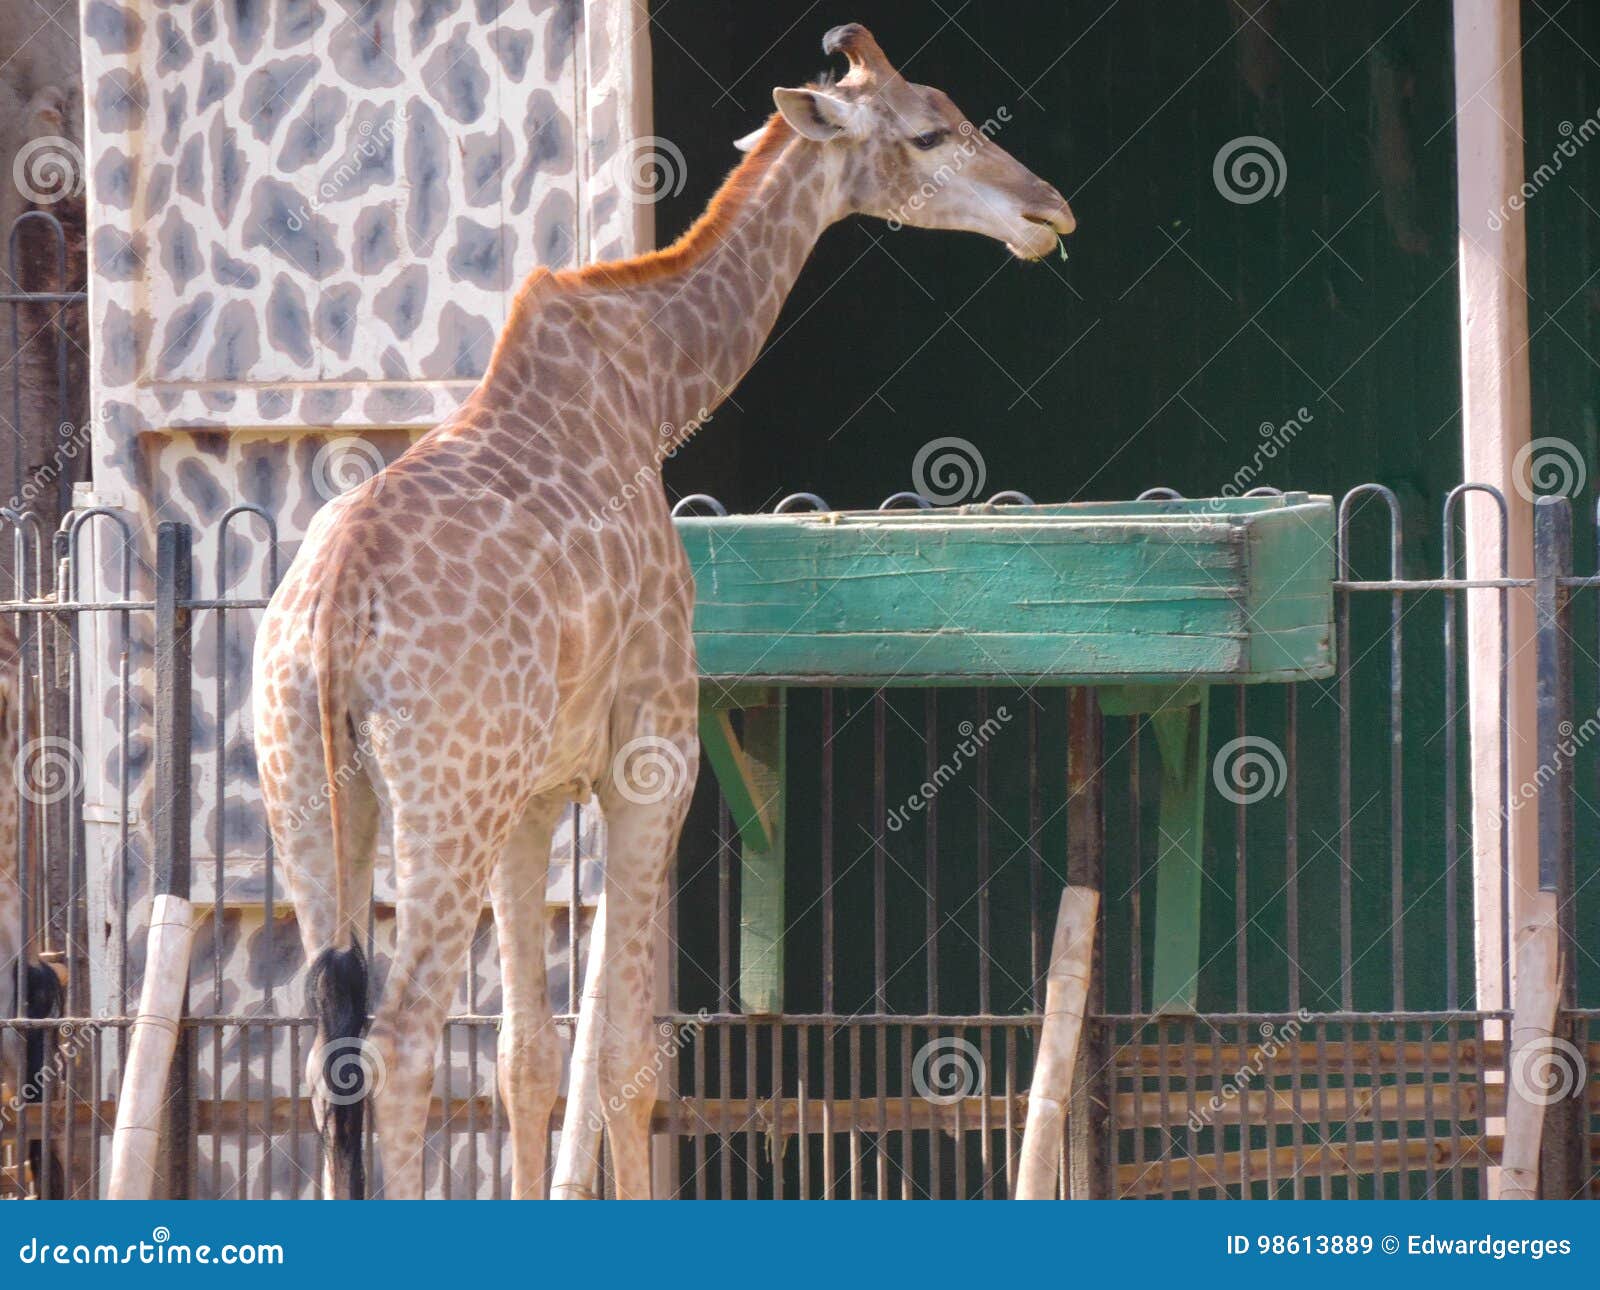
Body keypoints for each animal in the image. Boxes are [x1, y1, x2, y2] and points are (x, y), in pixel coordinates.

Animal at [252, 23, 1075, 1200]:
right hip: (441, 800)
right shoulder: (652, 755)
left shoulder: (532, 795)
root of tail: (328, 625)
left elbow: (528, 1059)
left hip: (314, 798)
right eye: (927, 130)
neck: (650, 387)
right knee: (401, 1043)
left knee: (336, 1058)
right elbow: (628, 1065)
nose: (1048, 209)